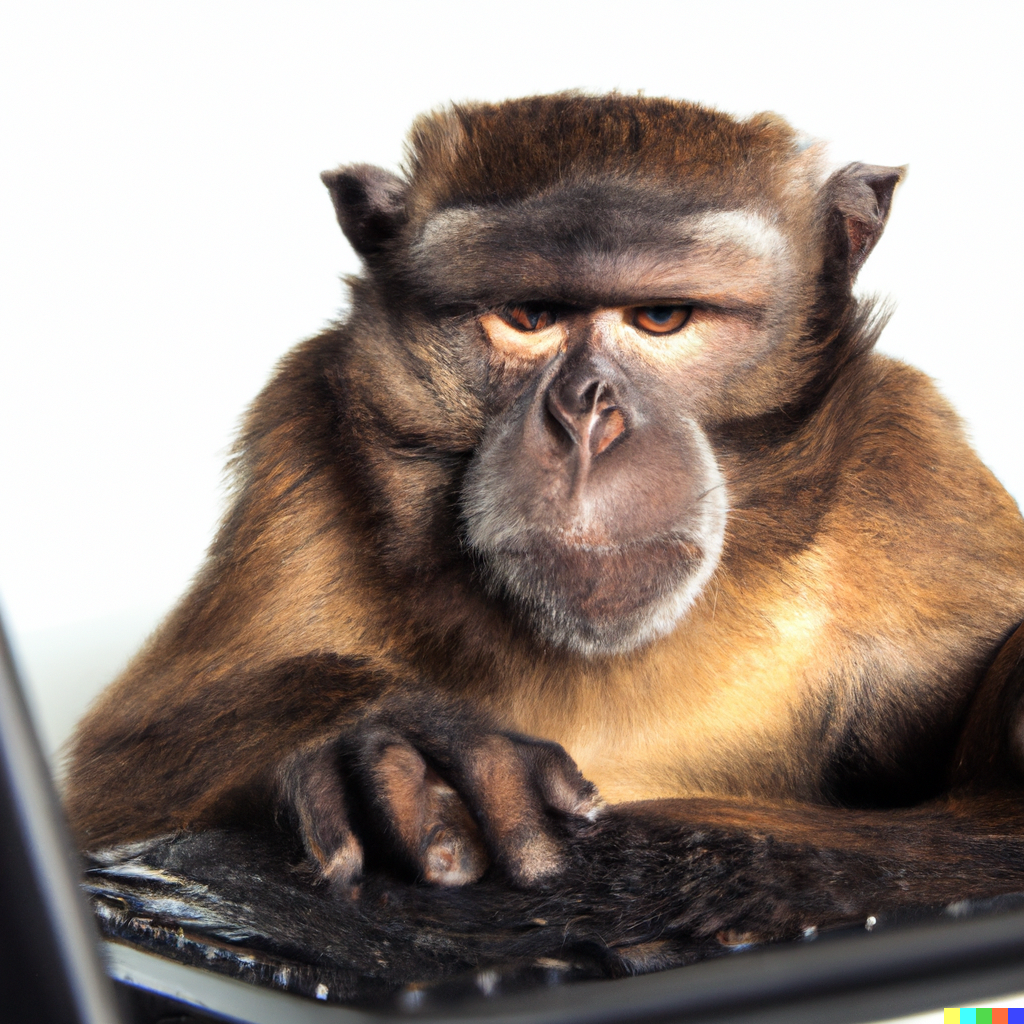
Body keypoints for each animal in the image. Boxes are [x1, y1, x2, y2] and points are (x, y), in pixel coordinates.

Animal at [65, 94, 1024, 987]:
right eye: (528, 316)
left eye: (662, 318)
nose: (586, 414)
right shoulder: (302, 431)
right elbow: (109, 778)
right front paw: (384, 739)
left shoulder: (910, 470)